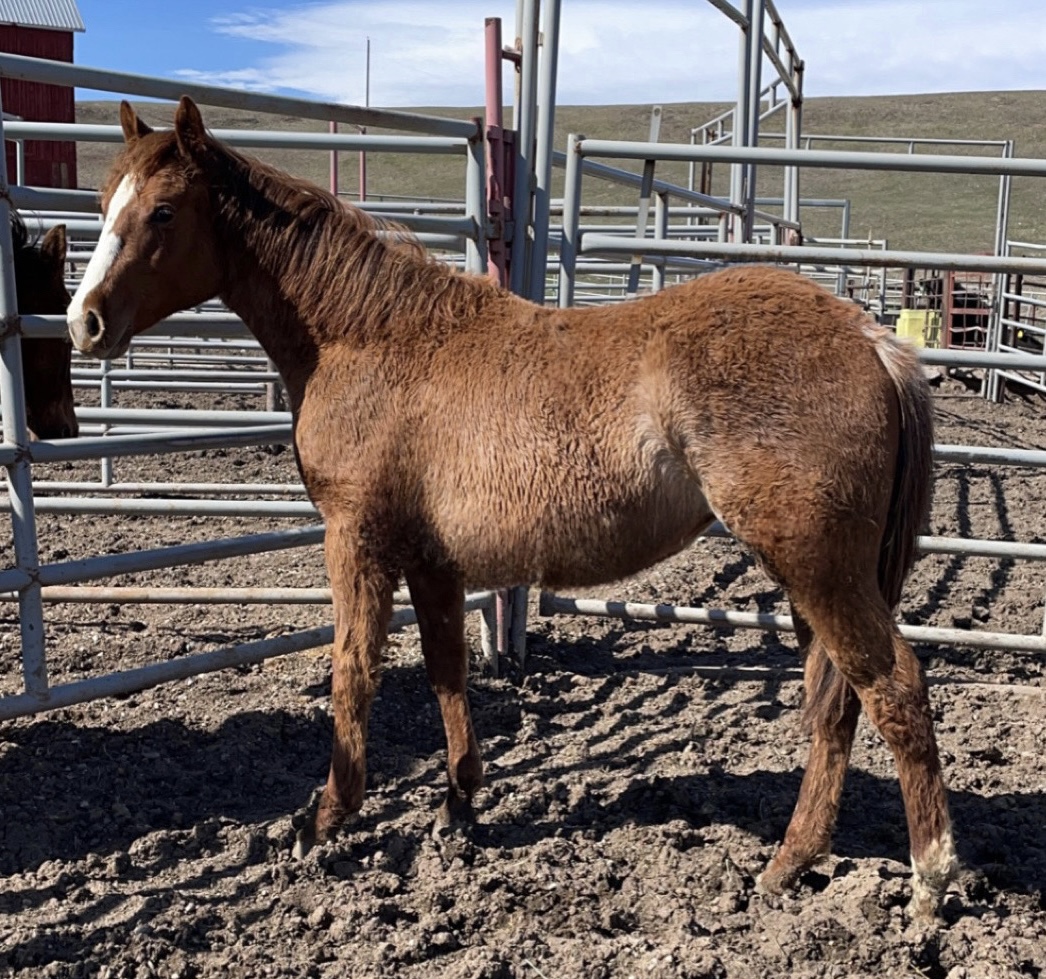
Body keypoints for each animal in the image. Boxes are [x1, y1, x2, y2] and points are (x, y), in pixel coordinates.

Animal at [67, 98, 955, 918]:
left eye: (163, 211)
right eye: (106, 199)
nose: (84, 322)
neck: (372, 337)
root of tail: (872, 339)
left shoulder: (356, 540)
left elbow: (353, 671)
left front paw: (323, 818)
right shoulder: (431, 559)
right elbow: (446, 670)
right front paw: (459, 803)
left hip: (817, 566)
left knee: (892, 686)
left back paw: (929, 880)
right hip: (811, 575)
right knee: (836, 703)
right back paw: (791, 862)